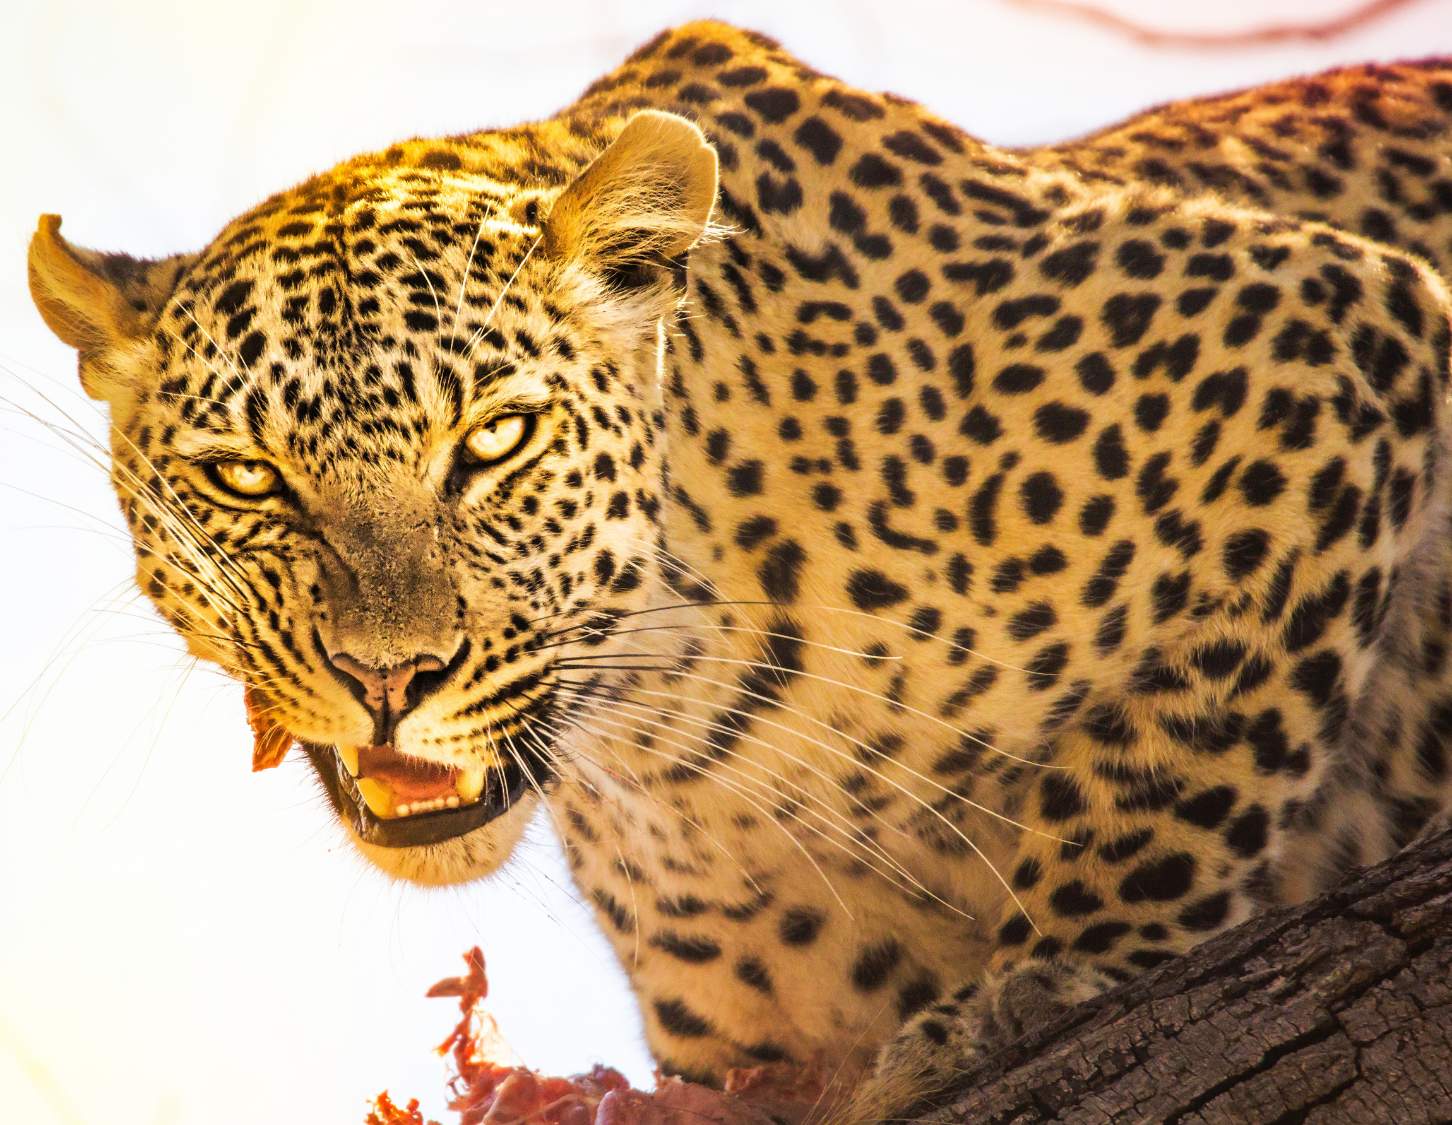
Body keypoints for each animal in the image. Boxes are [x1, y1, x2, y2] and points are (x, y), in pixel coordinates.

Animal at [27, 20, 1452, 1121]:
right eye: (245, 477)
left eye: (491, 441)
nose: (390, 678)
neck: (676, 744)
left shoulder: (1327, 339)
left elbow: (1172, 762)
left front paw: (1038, 985)